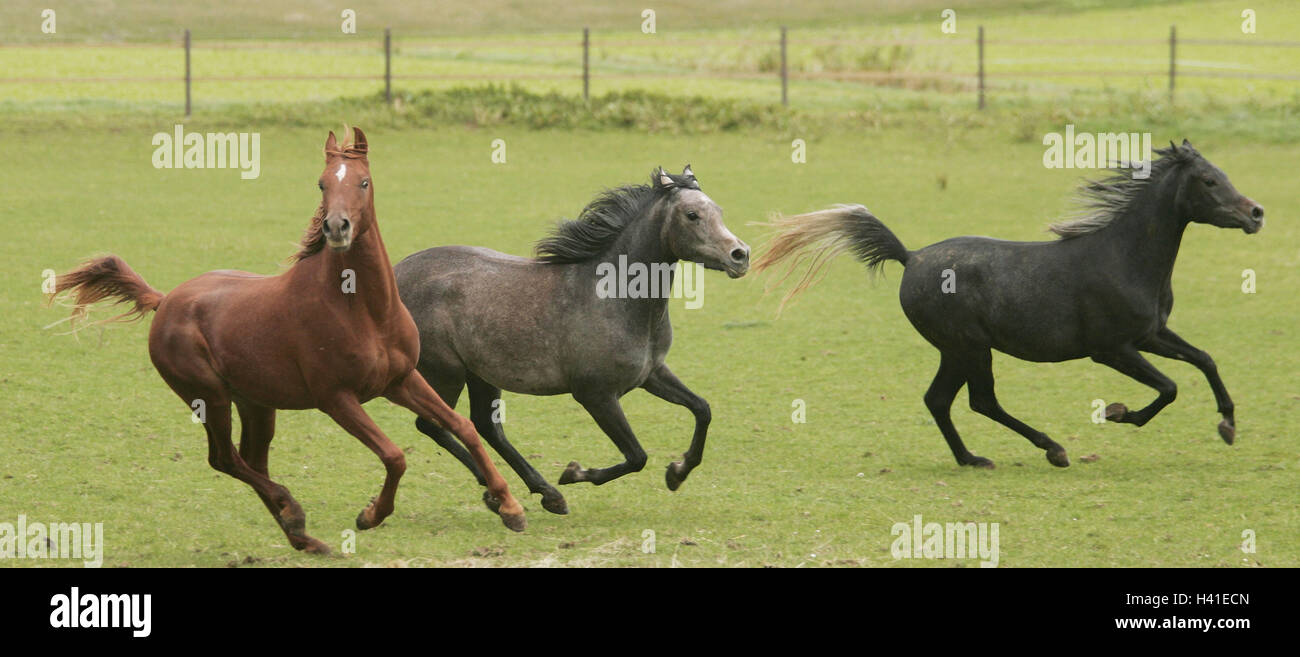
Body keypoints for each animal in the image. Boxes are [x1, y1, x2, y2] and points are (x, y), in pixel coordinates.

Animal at [50, 127, 525, 554]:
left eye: (363, 181)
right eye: (321, 182)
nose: (337, 227)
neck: (361, 309)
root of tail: (165, 300)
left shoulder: (401, 380)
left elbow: (464, 427)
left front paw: (511, 507)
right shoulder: (337, 398)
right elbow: (395, 456)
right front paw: (370, 515)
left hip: (257, 403)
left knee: (249, 458)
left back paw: (303, 537)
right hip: (209, 396)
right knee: (225, 459)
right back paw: (293, 511)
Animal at [394, 166, 749, 514]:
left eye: (718, 211)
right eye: (692, 215)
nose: (740, 255)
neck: (613, 297)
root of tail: (395, 275)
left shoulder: (651, 373)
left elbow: (702, 409)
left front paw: (677, 472)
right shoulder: (595, 395)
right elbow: (637, 456)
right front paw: (574, 473)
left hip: (479, 374)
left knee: (484, 426)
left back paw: (538, 494)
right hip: (446, 374)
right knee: (436, 425)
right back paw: (515, 492)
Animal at [752, 140, 1263, 468]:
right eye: (1208, 180)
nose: (1256, 213)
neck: (1124, 257)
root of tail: (910, 256)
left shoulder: (1151, 334)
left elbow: (1205, 360)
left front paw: (1228, 424)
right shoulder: (1113, 349)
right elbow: (1169, 387)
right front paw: (1119, 413)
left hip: (957, 351)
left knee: (940, 399)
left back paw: (971, 458)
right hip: (969, 347)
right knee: (979, 400)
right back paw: (1052, 450)